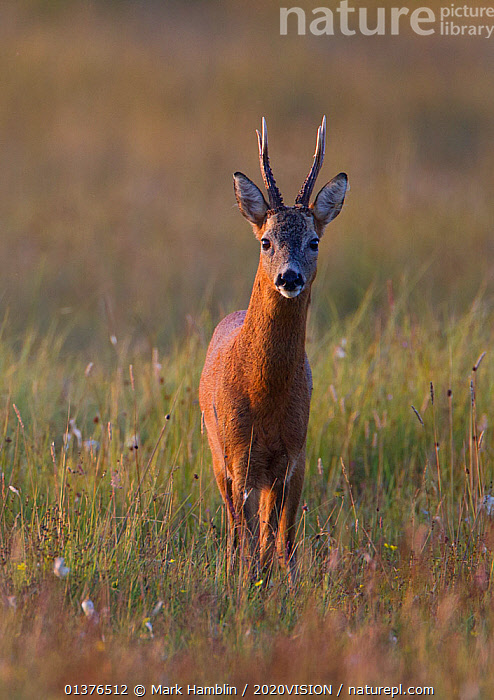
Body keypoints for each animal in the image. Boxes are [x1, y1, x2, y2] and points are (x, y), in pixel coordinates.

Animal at [199, 116, 347, 581]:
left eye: (314, 240)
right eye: (265, 240)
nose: (289, 277)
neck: (263, 396)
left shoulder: (294, 456)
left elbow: (282, 542)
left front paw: (283, 583)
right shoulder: (237, 456)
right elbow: (247, 541)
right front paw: (245, 583)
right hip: (218, 455)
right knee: (238, 531)